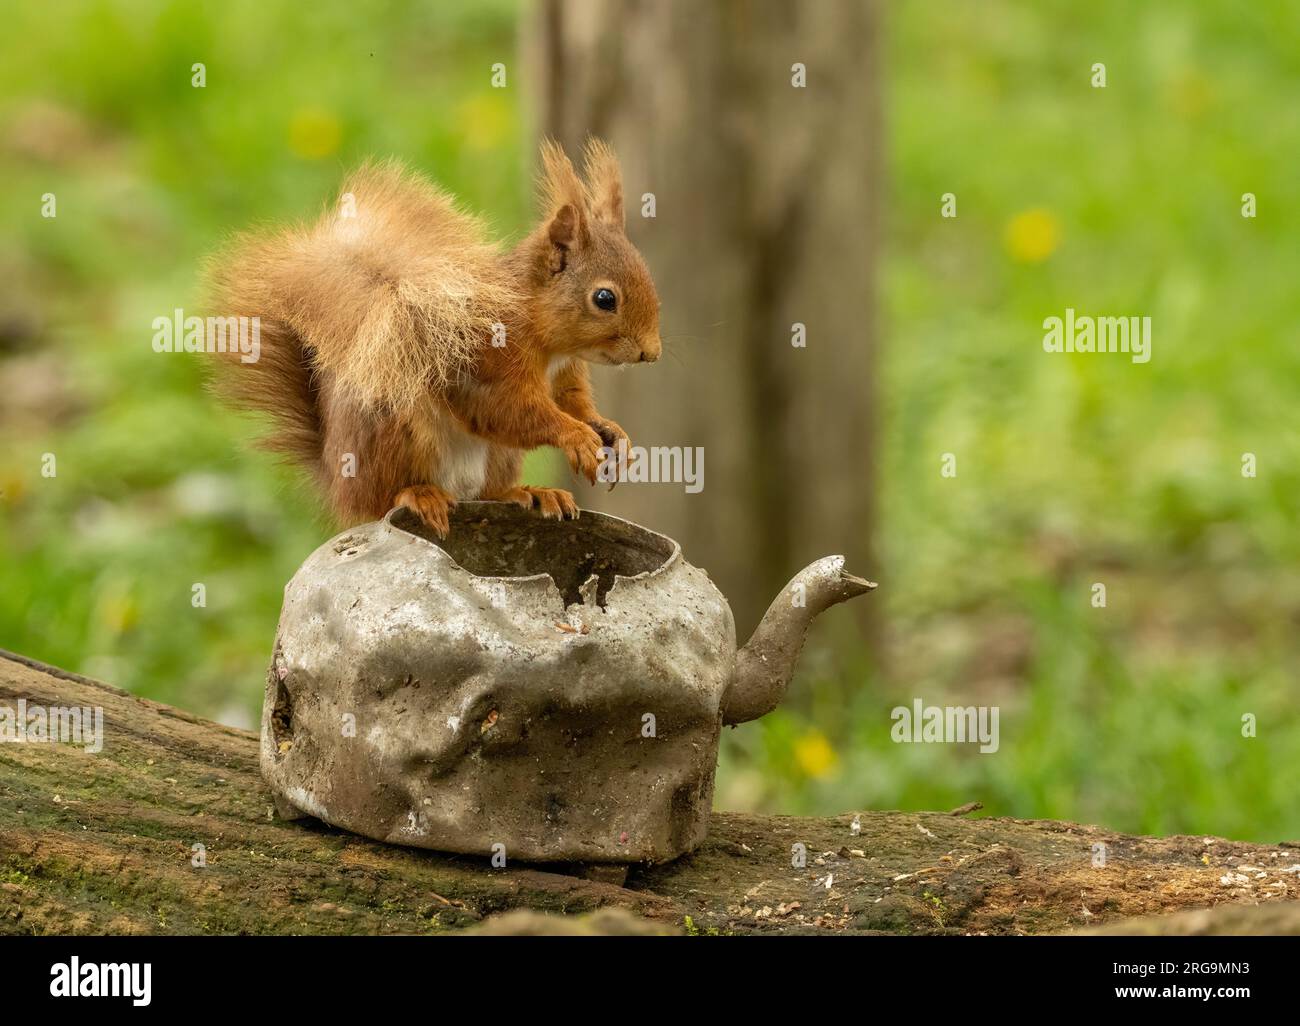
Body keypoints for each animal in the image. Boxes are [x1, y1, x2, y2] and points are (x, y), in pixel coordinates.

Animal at [203, 138, 660, 537]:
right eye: (604, 298)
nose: (651, 353)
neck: (547, 339)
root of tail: (336, 480)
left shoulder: (567, 373)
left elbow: (572, 402)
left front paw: (610, 432)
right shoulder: (490, 360)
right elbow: (510, 411)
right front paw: (576, 436)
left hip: (498, 456)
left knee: (490, 492)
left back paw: (530, 493)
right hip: (394, 432)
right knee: (384, 500)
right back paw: (419, 495)